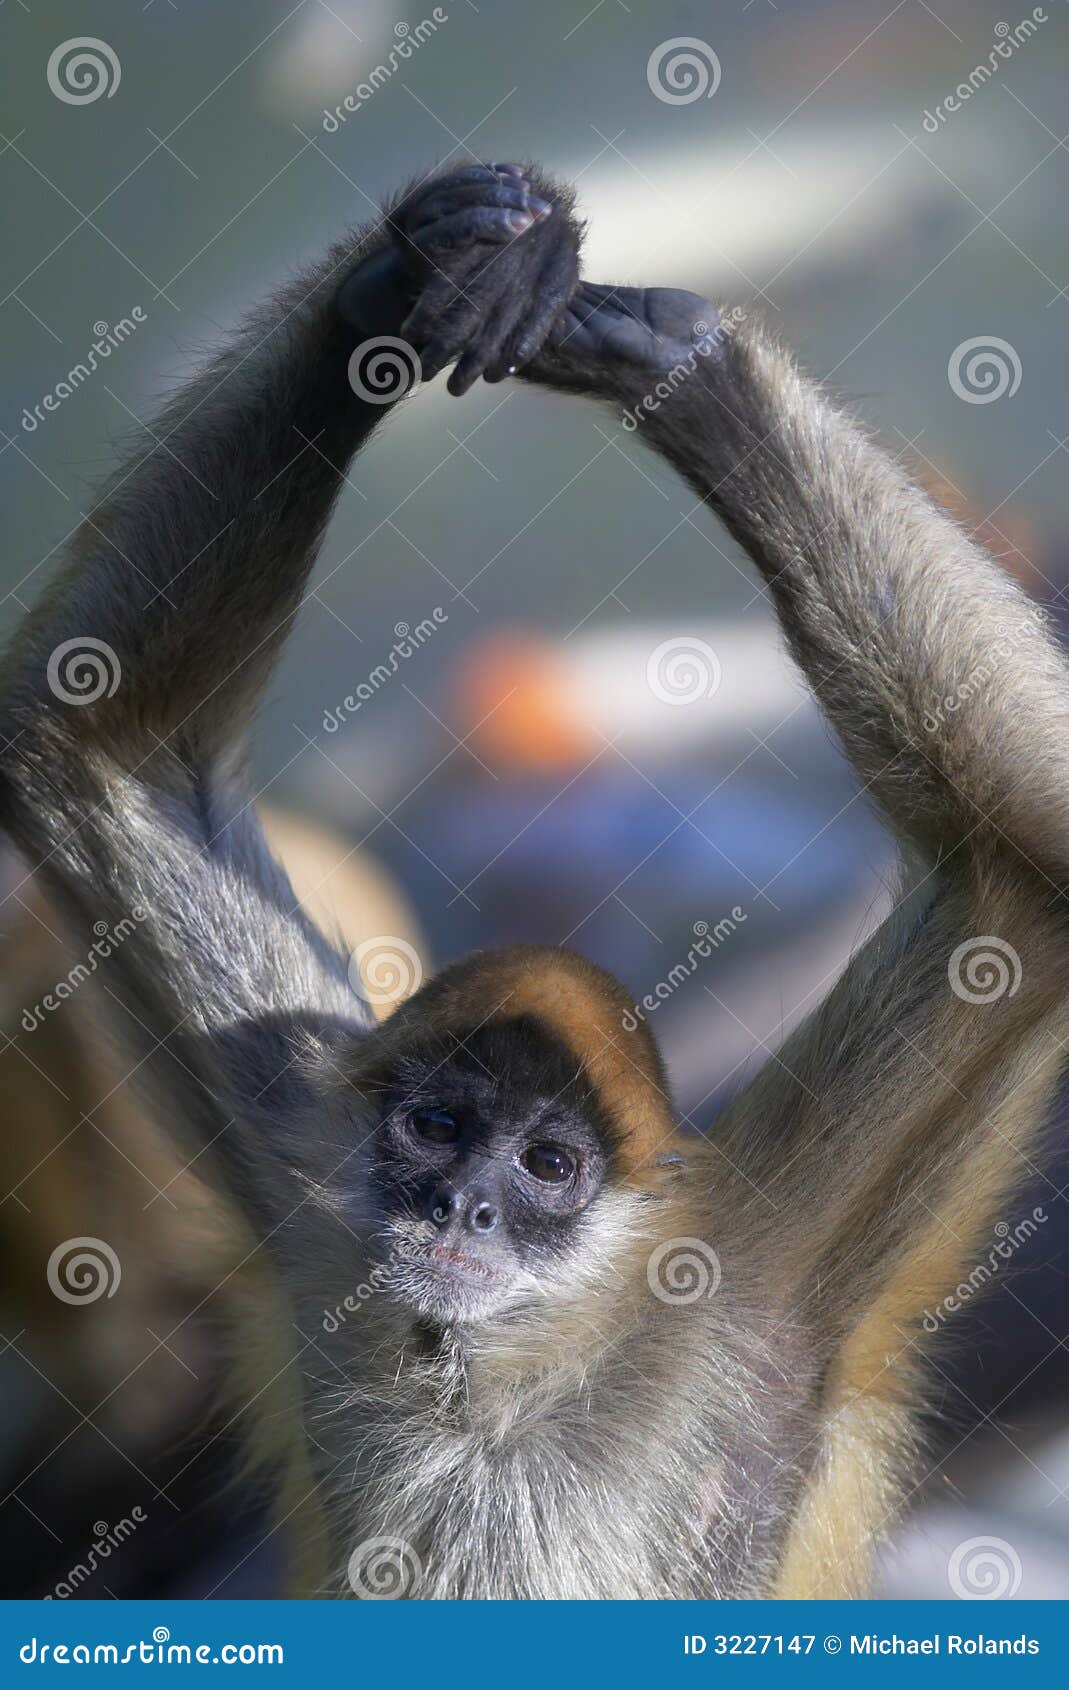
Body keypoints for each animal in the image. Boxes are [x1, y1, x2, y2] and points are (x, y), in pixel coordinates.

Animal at [2, 155, 1068, 1600]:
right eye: (439, 1126)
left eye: (549, 1165)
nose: (466, 1204)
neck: (493, 1372)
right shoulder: (299, 1146)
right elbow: (99, 742)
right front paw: (416, 266)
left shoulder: (748, 1278)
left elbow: (1017, 868)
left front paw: (660, 343)